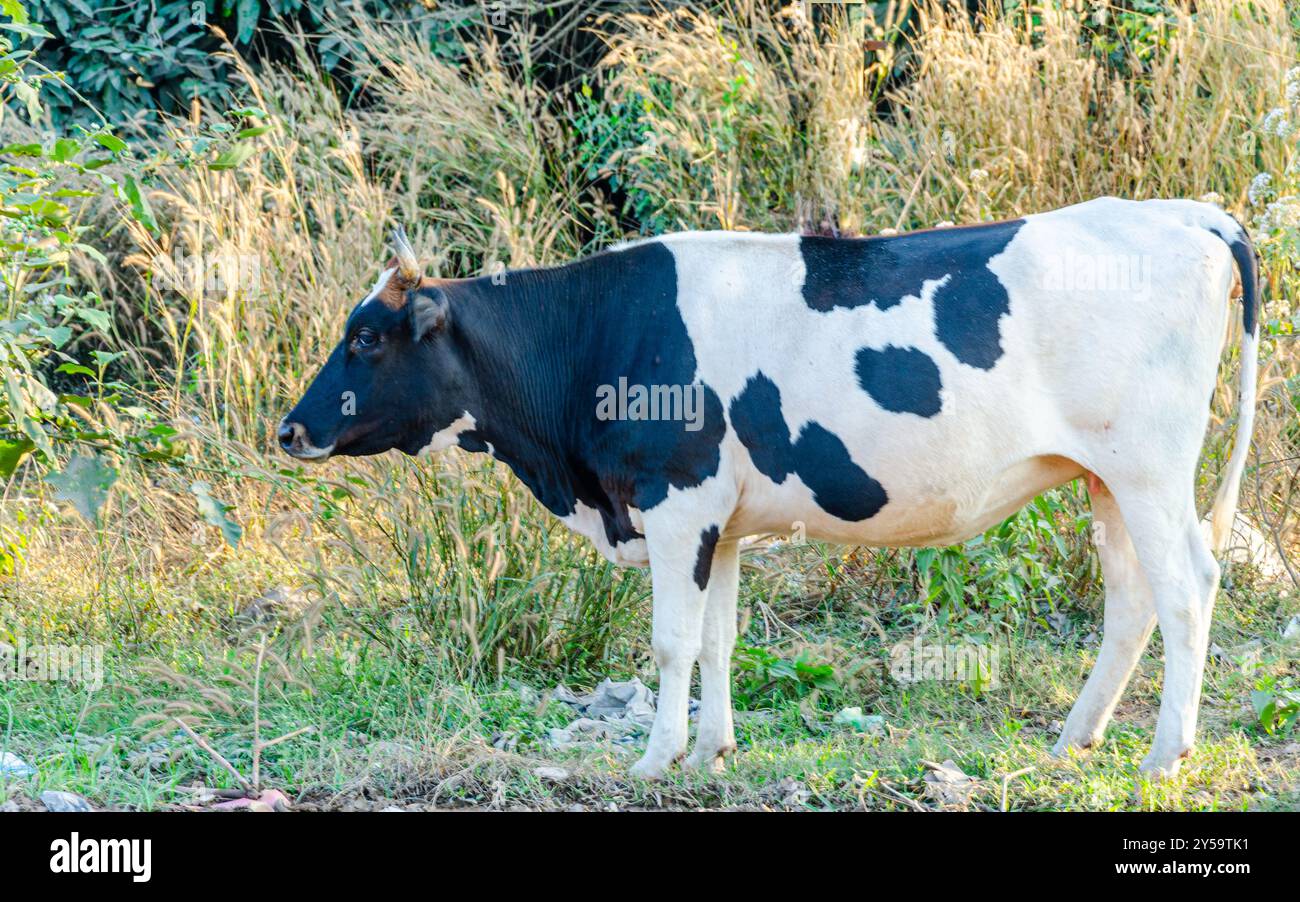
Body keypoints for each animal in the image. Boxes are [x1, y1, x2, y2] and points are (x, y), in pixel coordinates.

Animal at [280, 197, 1259, 780]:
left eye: (366, 338)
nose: (289, 428)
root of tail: (1186, 213)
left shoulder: (676, 501)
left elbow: (672, 642)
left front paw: (656, 758)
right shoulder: (723, 522)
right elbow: (718, 640)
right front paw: (712, 750)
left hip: (1150, 470)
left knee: (1188, 589)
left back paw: (1166, 755)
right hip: (1105, 477)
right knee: (1132, 598)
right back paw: (1075, 739)